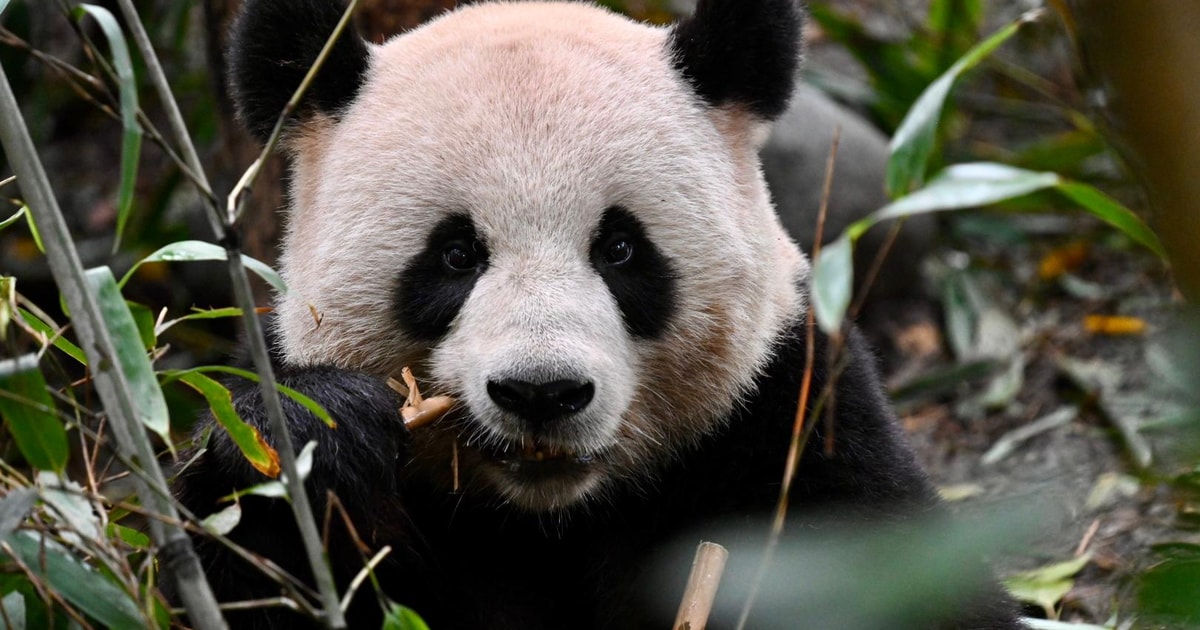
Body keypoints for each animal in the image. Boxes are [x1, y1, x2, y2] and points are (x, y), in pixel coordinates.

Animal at [173, 0, 1024, 628]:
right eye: (455, 255)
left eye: (619, 248)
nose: (541, 392)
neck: (550, 517)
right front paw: (317, 428)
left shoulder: (788, 415)